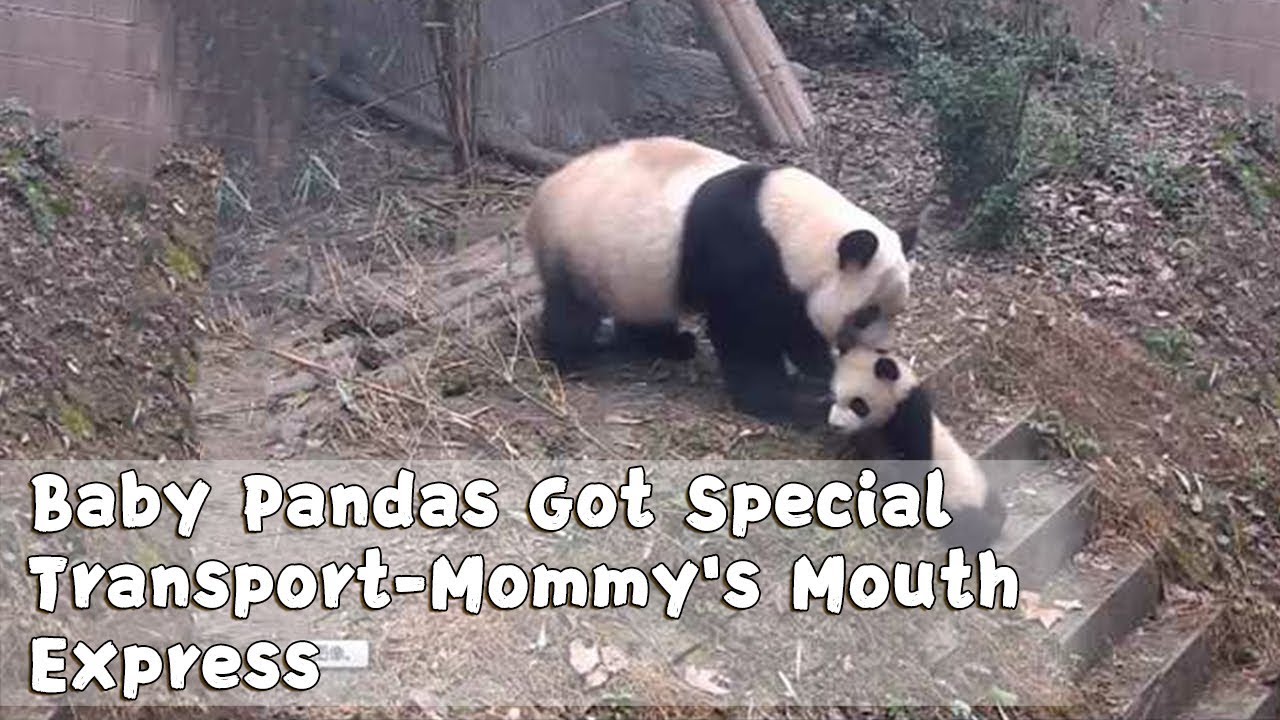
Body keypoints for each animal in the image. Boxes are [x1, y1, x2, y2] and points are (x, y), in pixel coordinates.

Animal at [522, 136, 917, 426]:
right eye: (867, 313)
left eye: (896, 311)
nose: (882, 351)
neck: (794, 225)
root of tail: (542, 197)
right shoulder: (743, 249)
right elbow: (745, 332)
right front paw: (783, 401)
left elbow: (794, 323)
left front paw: (820, 368)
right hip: (579, 249)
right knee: (572, 310)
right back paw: (576, 359)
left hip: (636, 269)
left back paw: (671, 345)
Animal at [825, 347, 1008, 554]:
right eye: (834, 397)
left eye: (858, 404)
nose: (835, 425)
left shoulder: (911, 420)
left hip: (958, 496)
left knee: (970, 523)